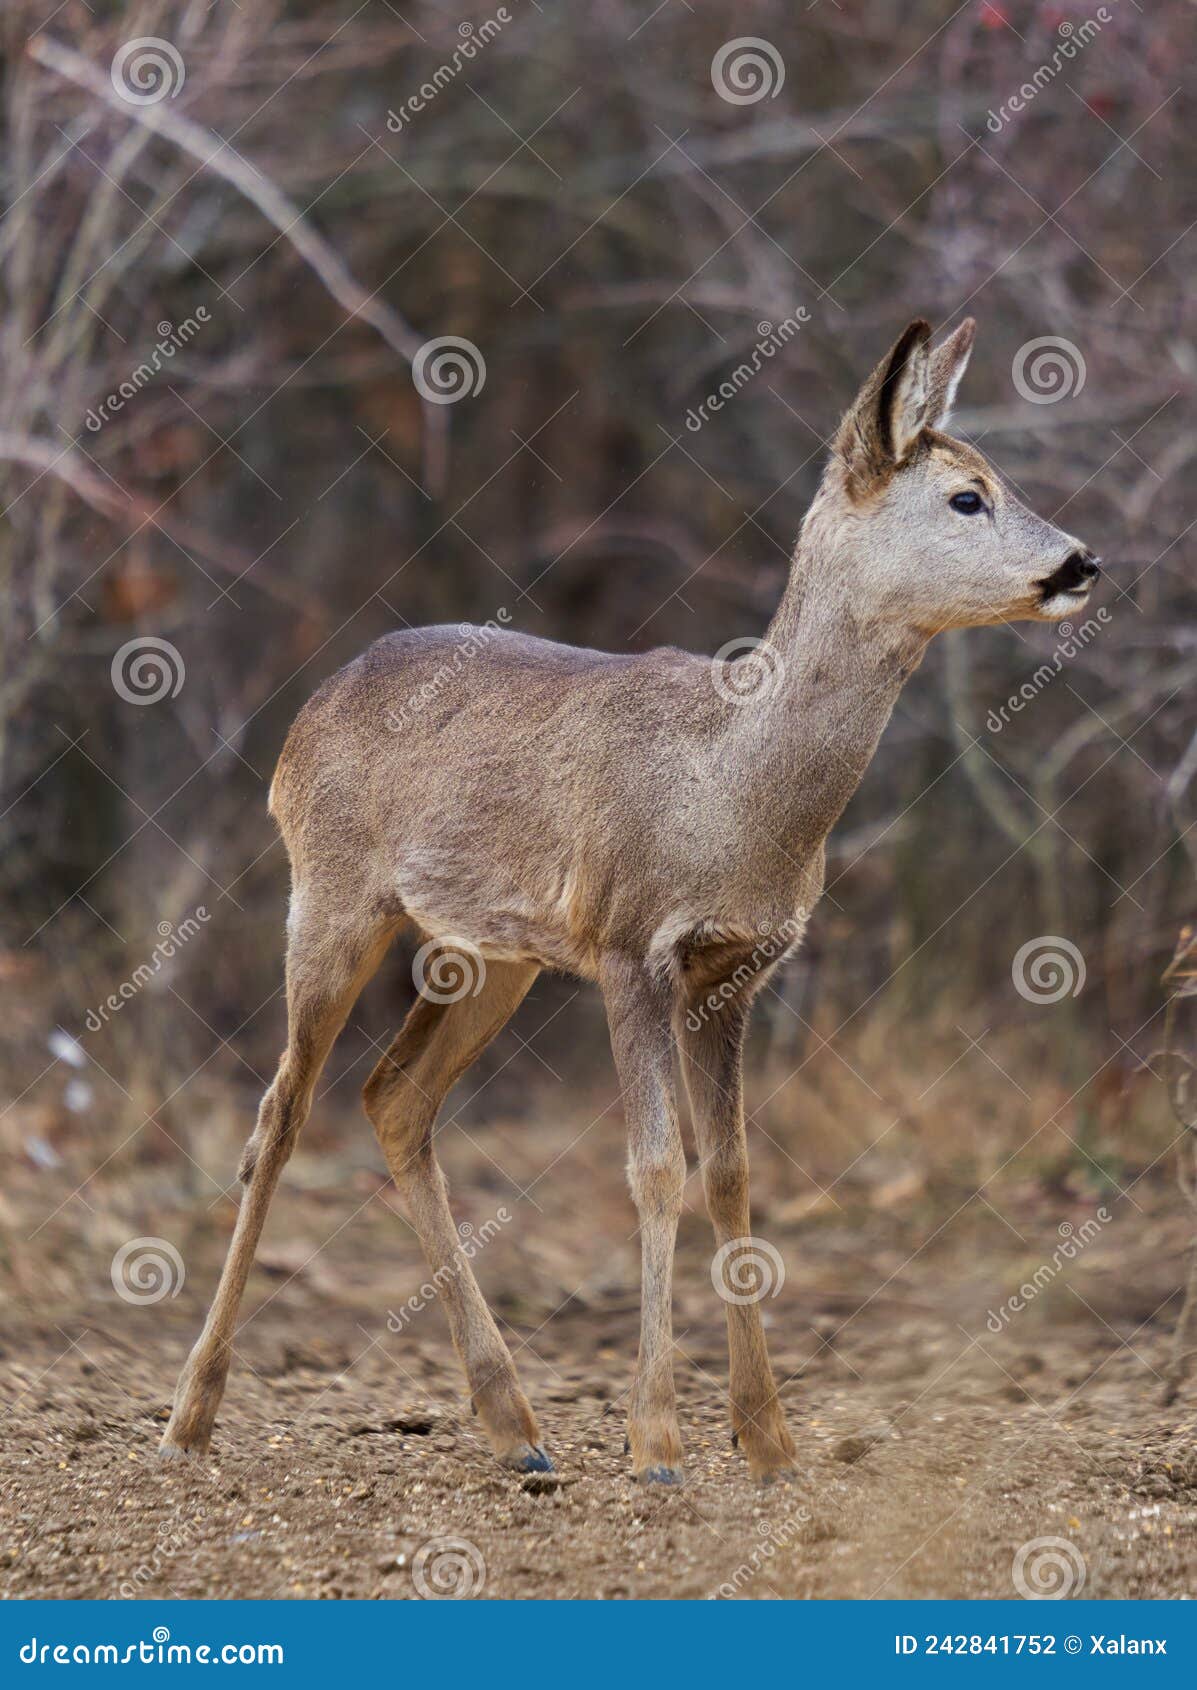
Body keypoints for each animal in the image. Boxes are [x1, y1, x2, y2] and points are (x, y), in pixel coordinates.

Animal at [161, 318, 1100, 1485]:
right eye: (968, 495)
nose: (1081, 562)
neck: (727, 786)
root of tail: (306, 716)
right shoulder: (625, 946)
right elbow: (655, 1167)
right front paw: (656, 1440)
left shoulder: (737, 969)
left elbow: (732, 1171)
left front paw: (768, 1439)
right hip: (333, 895)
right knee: (280, 1114)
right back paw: (191, 1416)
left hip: (492, 954)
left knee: (393, 1096)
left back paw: (516, 1426)